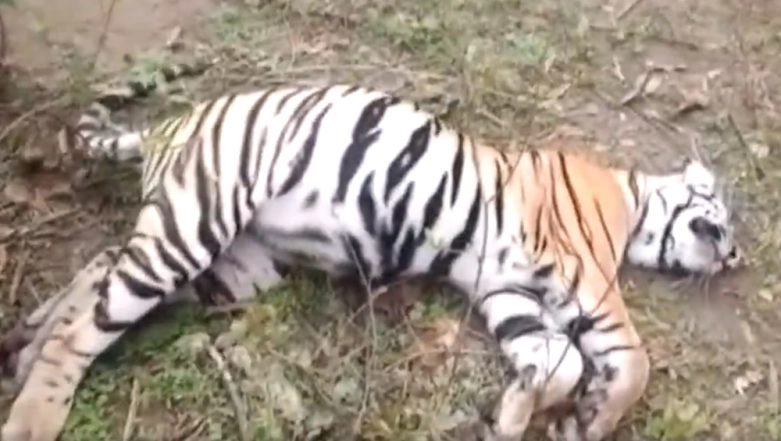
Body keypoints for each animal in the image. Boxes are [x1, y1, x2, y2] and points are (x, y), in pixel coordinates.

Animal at [0, 83, 741, 441]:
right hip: (198, 222)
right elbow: (630, 361)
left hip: (233, 265)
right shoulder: (583, 275)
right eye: (721, 211)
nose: (733, 254)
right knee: (87, 325)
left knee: (100, 269)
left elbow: (555, 360)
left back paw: (24, 347)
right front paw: (590, 419)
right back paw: (34, 415)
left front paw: (516, 412)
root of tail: (169, 123)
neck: (633, 198)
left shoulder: (505, 290)